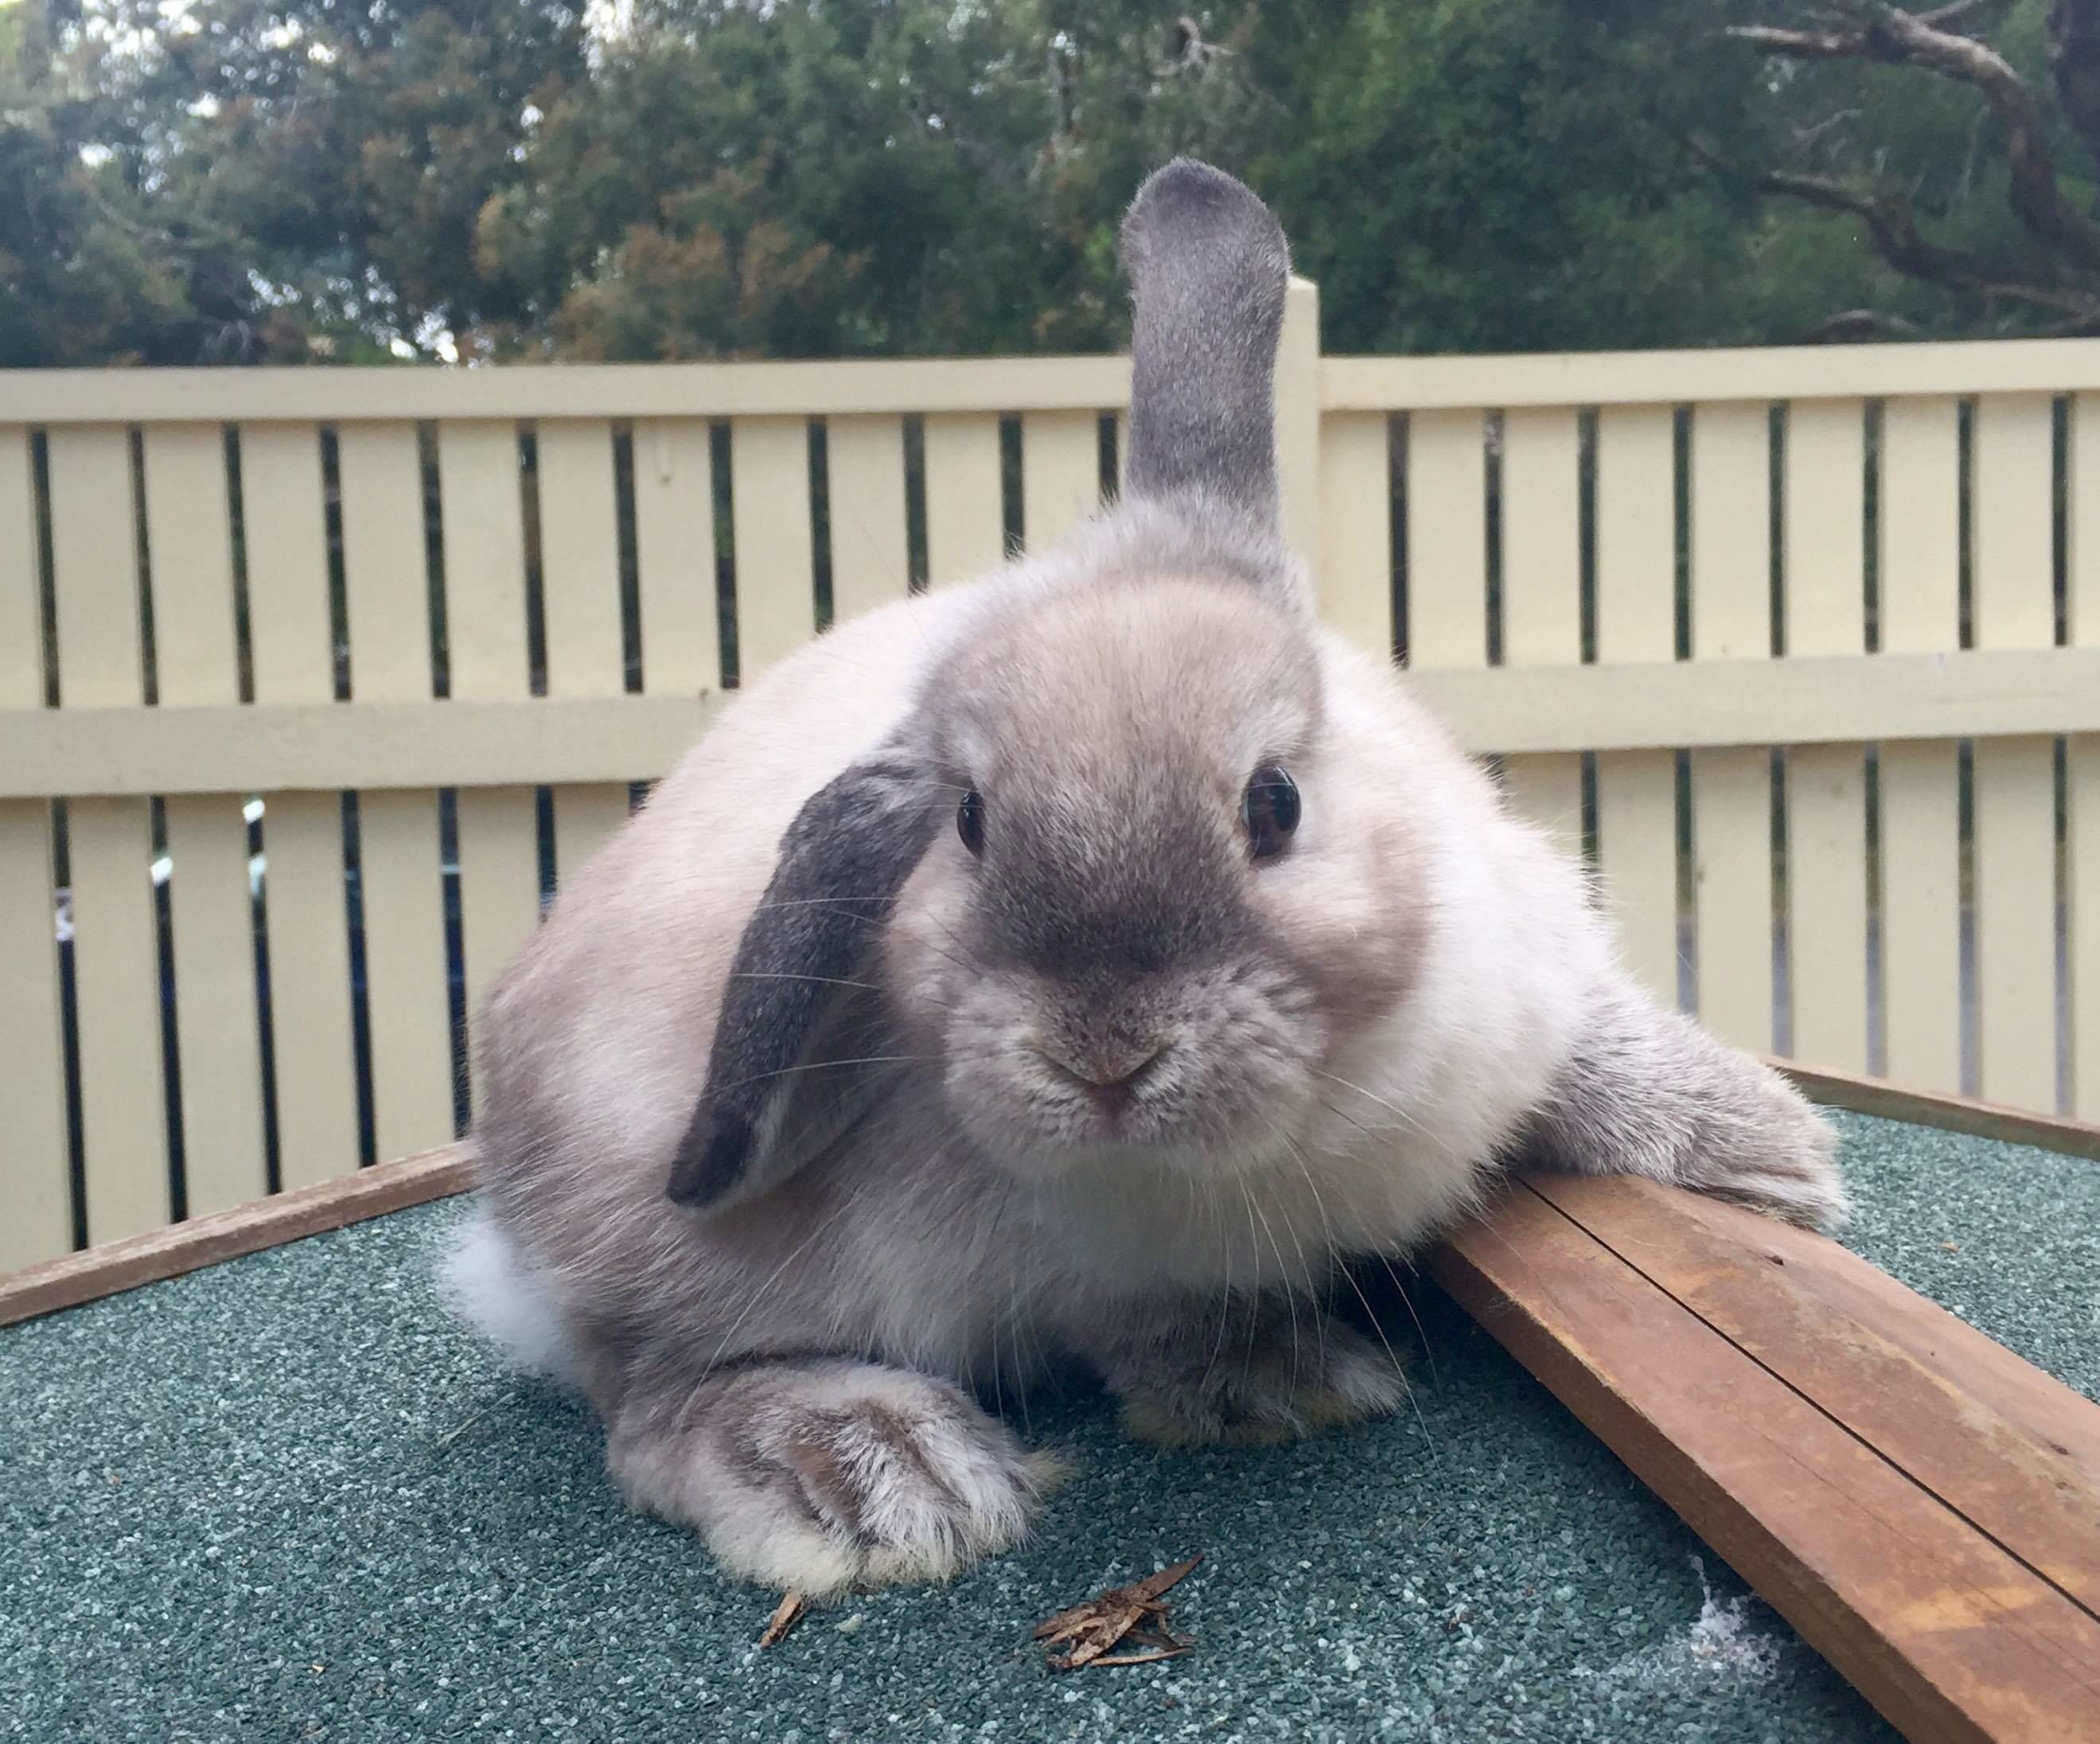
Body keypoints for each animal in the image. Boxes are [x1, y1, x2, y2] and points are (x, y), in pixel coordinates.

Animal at [447, 158, 1844, 1598]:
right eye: (966, 819)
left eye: (1272, 802)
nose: (1103, 1057)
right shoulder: (1086, 1268)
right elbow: (1134, 1320)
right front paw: (1271, 1378)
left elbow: (1589, 1049)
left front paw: (1761, 1154)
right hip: (652, 1221)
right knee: (647, 1396)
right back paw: (865, 1470)